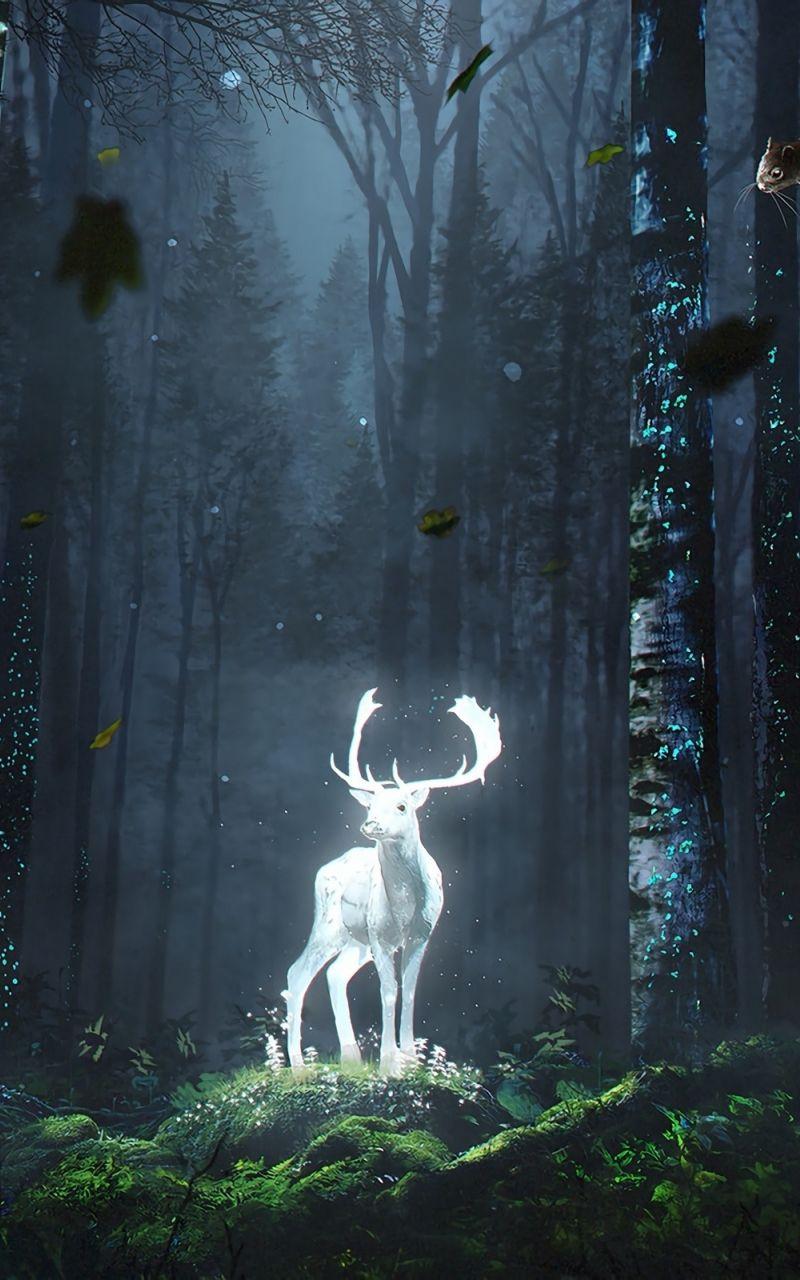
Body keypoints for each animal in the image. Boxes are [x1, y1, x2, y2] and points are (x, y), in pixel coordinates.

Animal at [283, 688, 502, 1076]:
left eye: (402, 806)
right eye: (370, 807)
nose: (371, 825)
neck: (404, 906)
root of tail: (326, 866)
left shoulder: (422, 933)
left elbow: (410, 989)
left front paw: (411, 1059)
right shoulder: (382, 935)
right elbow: (388, 990)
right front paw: (389, 1062)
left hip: (356, 941)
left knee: (336, 973)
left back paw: (351, 1058)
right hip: (332, 925)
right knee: (298, 973)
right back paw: (298, 1067)